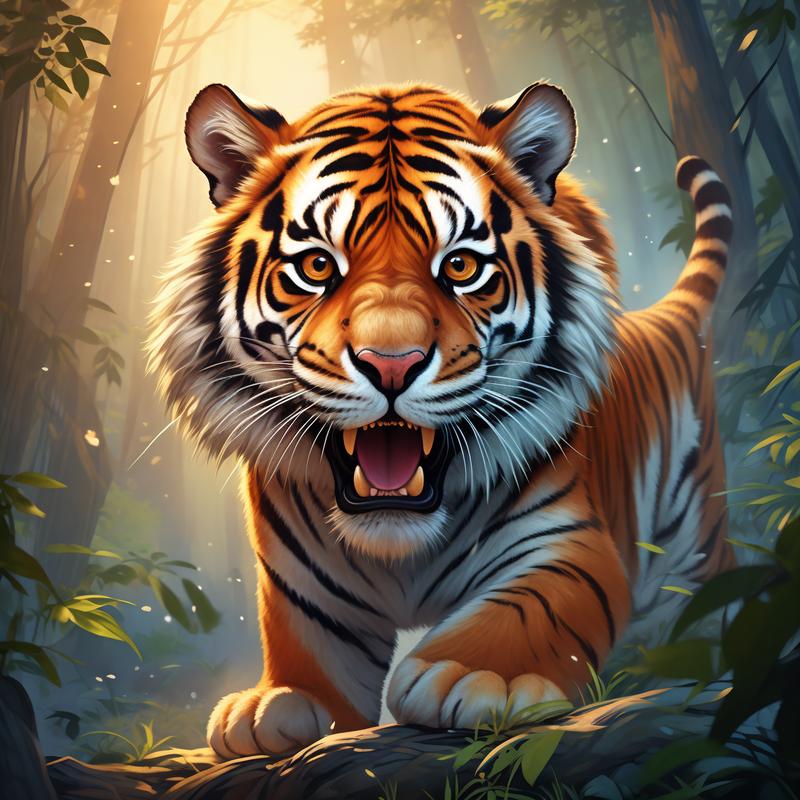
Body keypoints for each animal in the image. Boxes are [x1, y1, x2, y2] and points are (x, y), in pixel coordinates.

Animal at [147, 80, 734, 758]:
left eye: (460, 267)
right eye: (317, 266)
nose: (391, 364)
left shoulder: (567, 543)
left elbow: (530, 609)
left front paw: (472, 675)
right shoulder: (302, 589)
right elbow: (304, 652)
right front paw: (278, 701)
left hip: (699, 549)